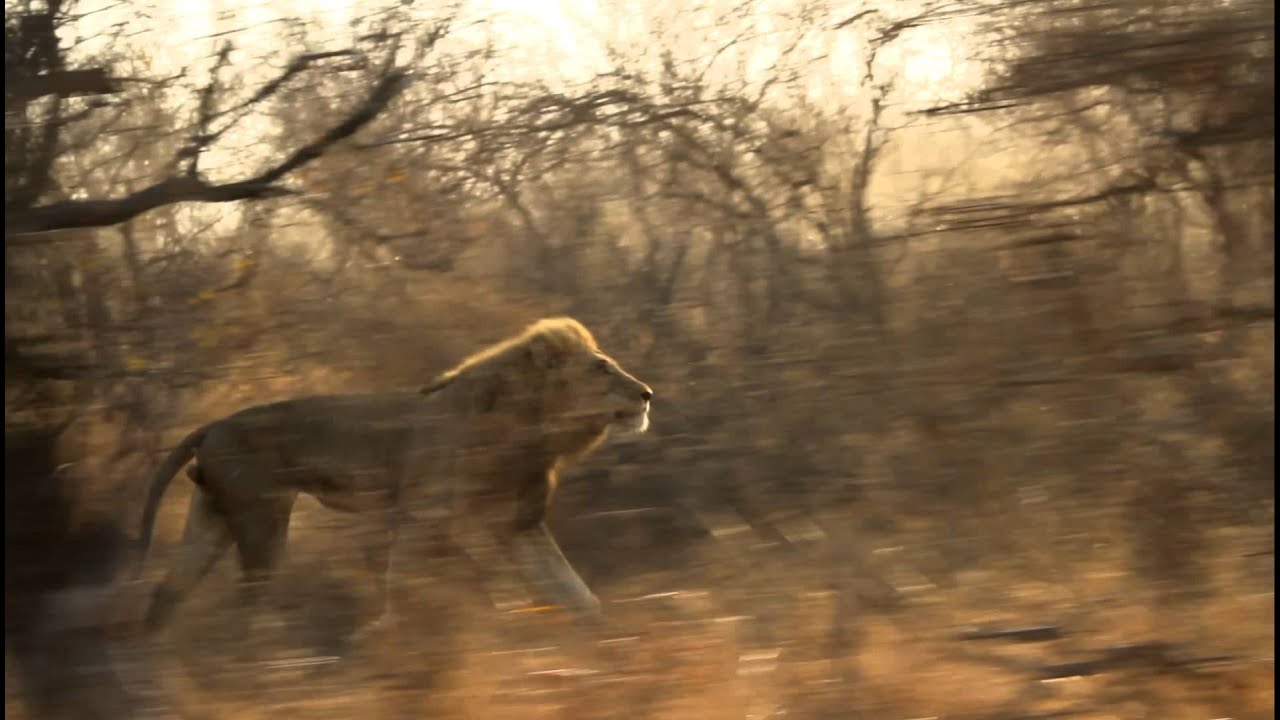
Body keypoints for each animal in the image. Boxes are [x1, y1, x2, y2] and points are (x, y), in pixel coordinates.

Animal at [135, 317, 653, 641]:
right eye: (601, 368)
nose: (648, 394)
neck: (536, 429)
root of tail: (214, 424)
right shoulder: (421, 519)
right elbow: (405, 587)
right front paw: (381, 640)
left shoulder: (517, 526)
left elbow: (574, 594)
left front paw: (603, 646)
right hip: (263, 520)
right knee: (248, 603)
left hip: (213, 519)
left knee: (168, 592)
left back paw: (151, 665)